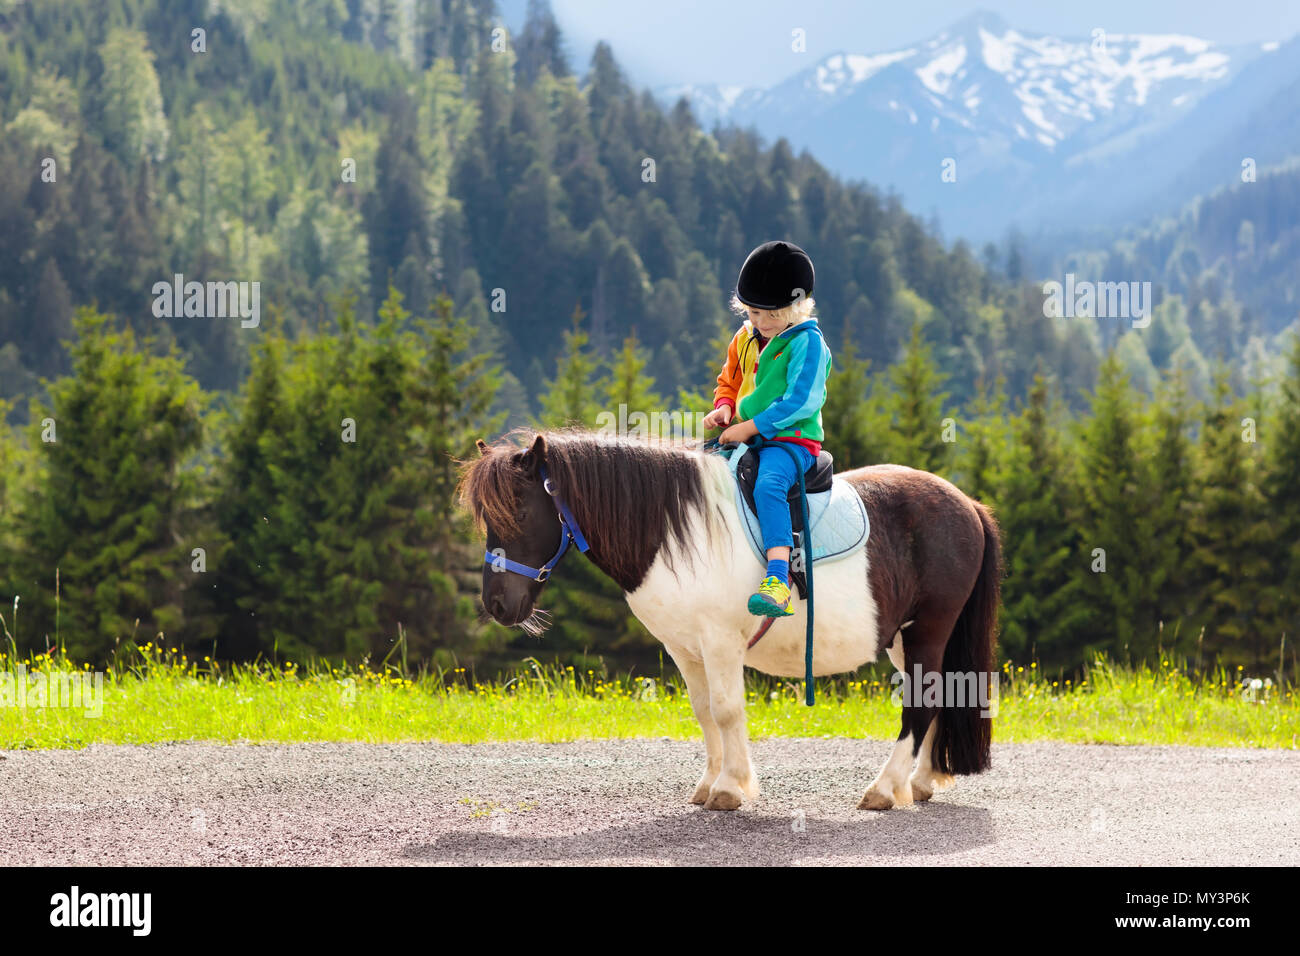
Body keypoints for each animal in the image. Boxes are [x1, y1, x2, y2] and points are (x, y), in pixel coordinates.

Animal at [458, 428, 1002, 811]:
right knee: (937, 695)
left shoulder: (720, 641)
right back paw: (920, 781)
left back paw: (886, 788)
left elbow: (726, 711)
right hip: (903, 640)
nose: (497, 604)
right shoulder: (685, 648)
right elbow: (704, 713)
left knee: (921, 703)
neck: (671, 527)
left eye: (519, 513)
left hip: (928, 628)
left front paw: (730, 788)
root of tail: (968, 505)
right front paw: (708, 783)